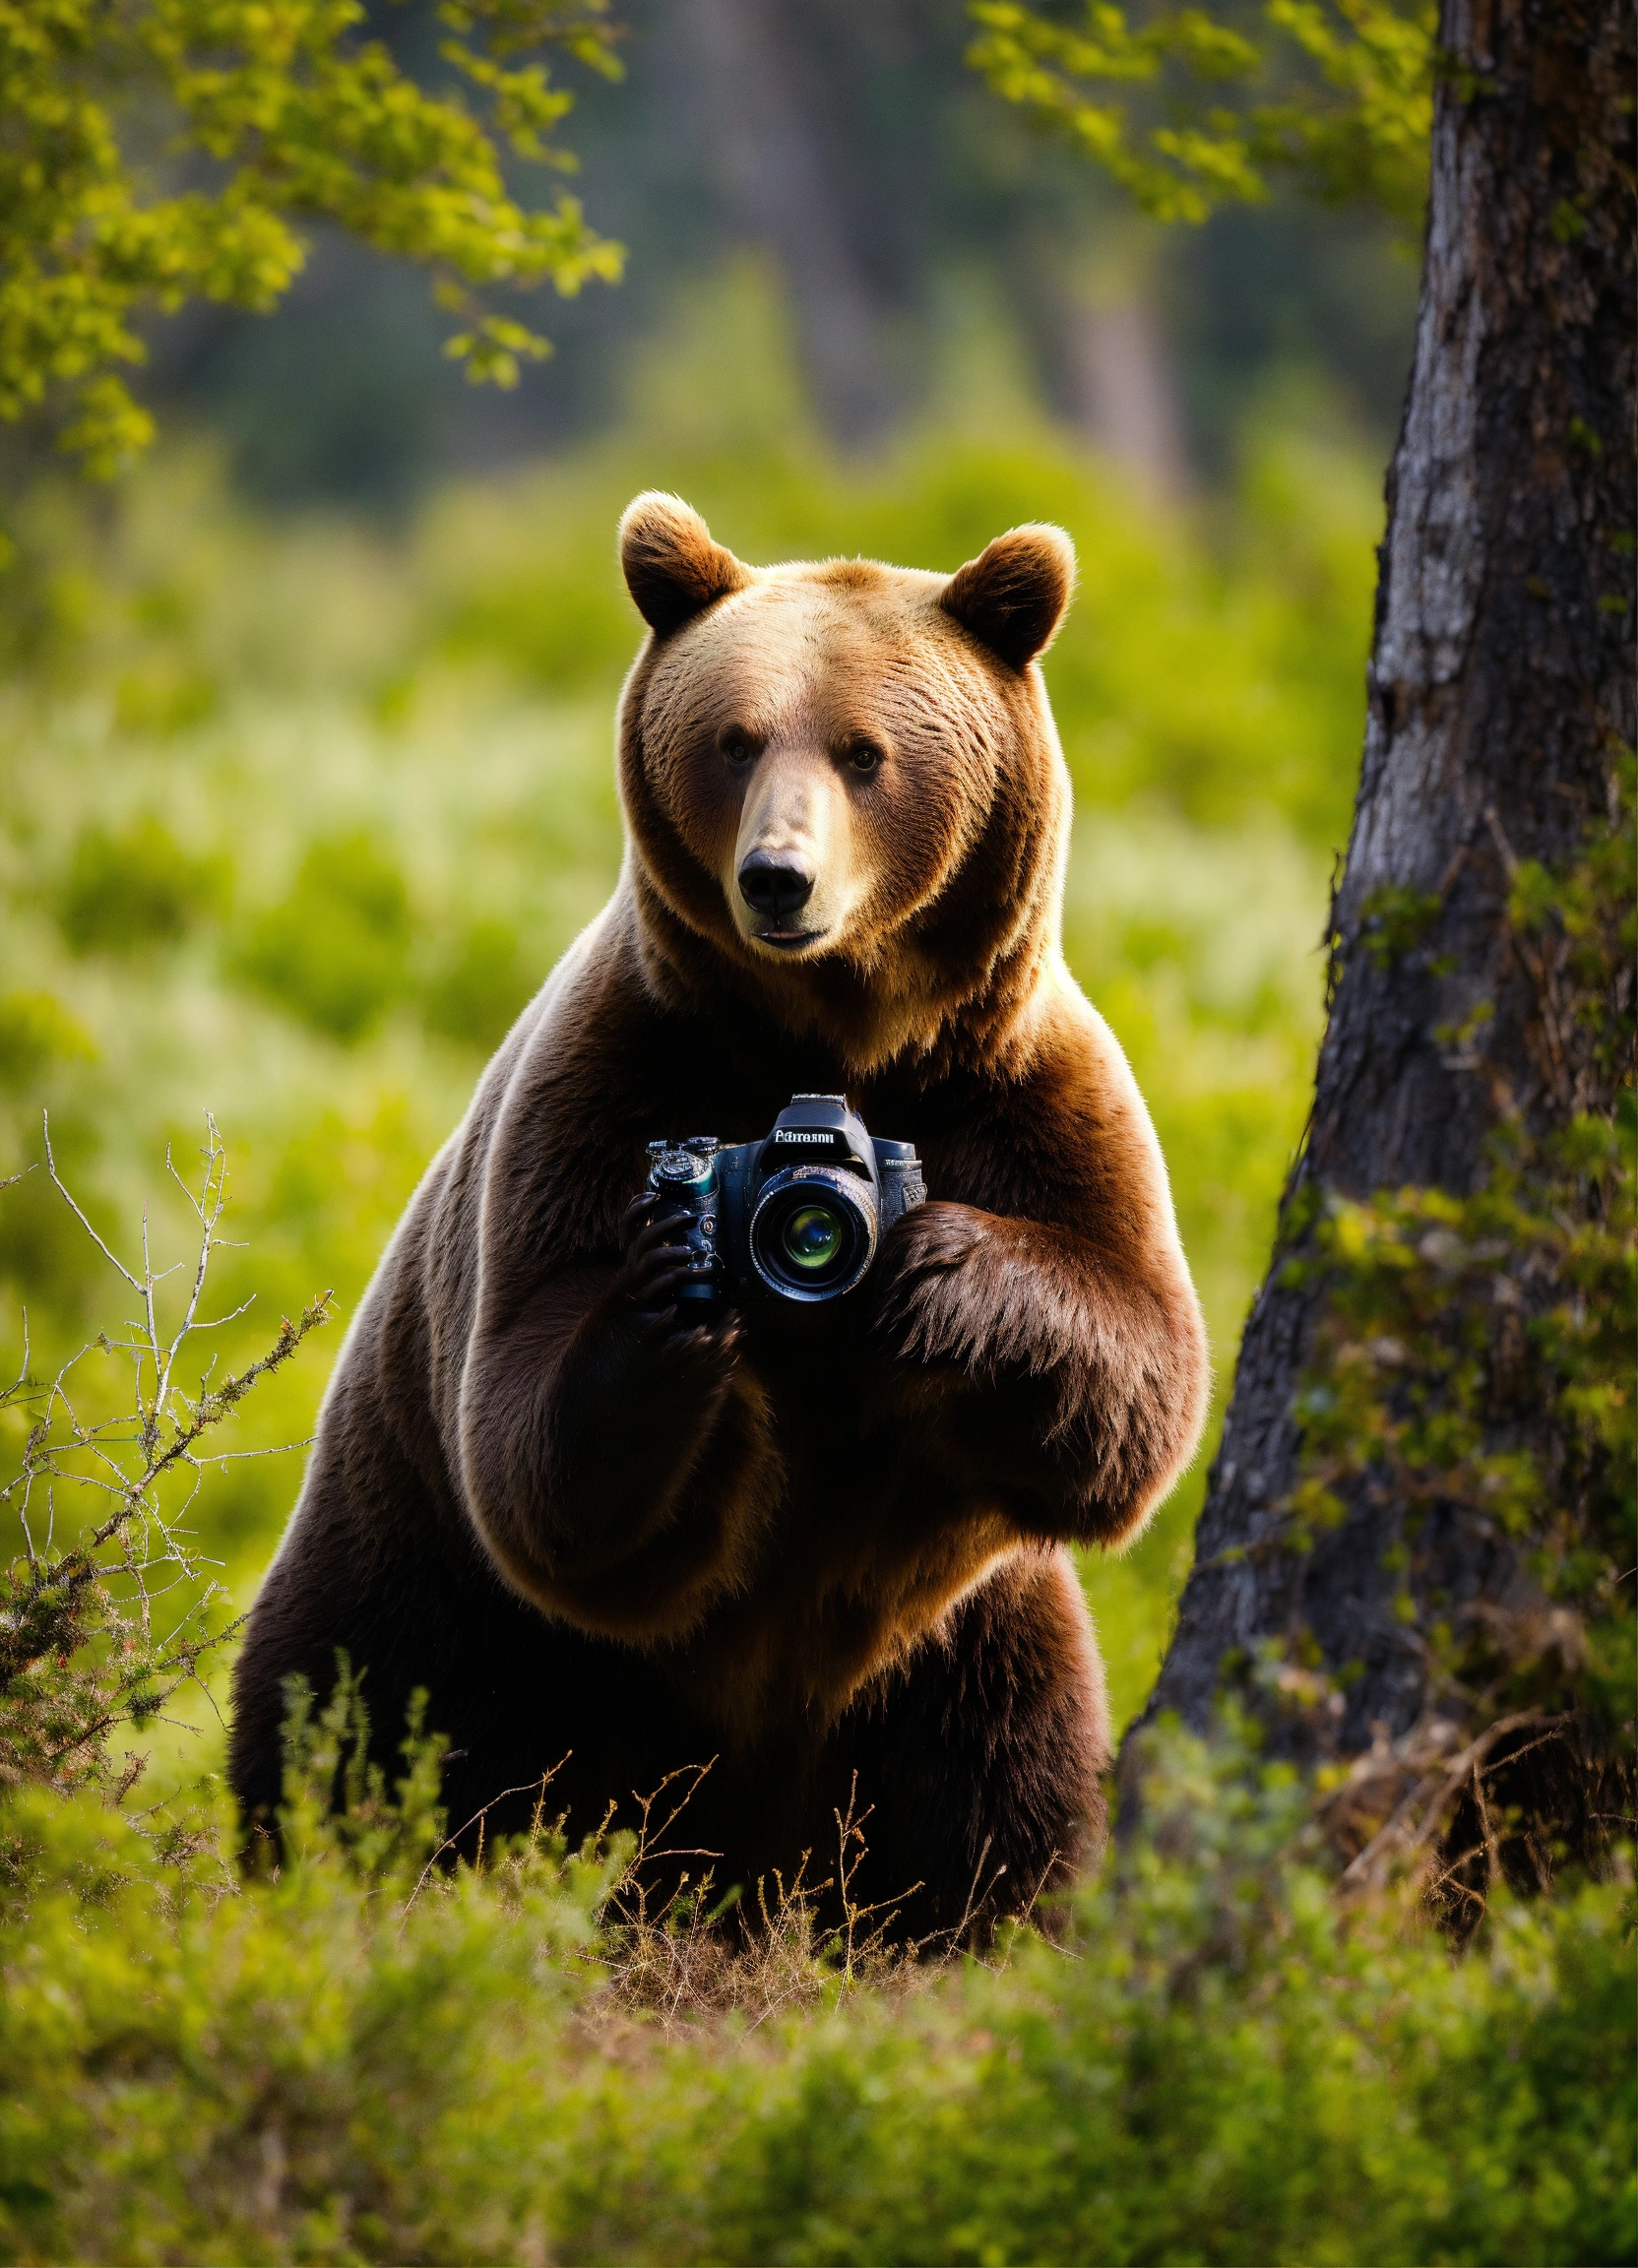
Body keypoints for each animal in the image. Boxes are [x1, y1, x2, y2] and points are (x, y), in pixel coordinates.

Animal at [229, 493, 1209, 1941]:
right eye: (735, 737)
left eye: (865, 752)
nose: (777, 879)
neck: (834, 1051)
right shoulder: (613, 1083)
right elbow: (532, 1431)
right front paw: (678, 1318)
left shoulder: (1028, 1094)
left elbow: (1135, 1376)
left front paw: (941, 1275)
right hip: (444, 1601)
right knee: (341, 1732)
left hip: (949, 1663)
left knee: (1008, 1810)